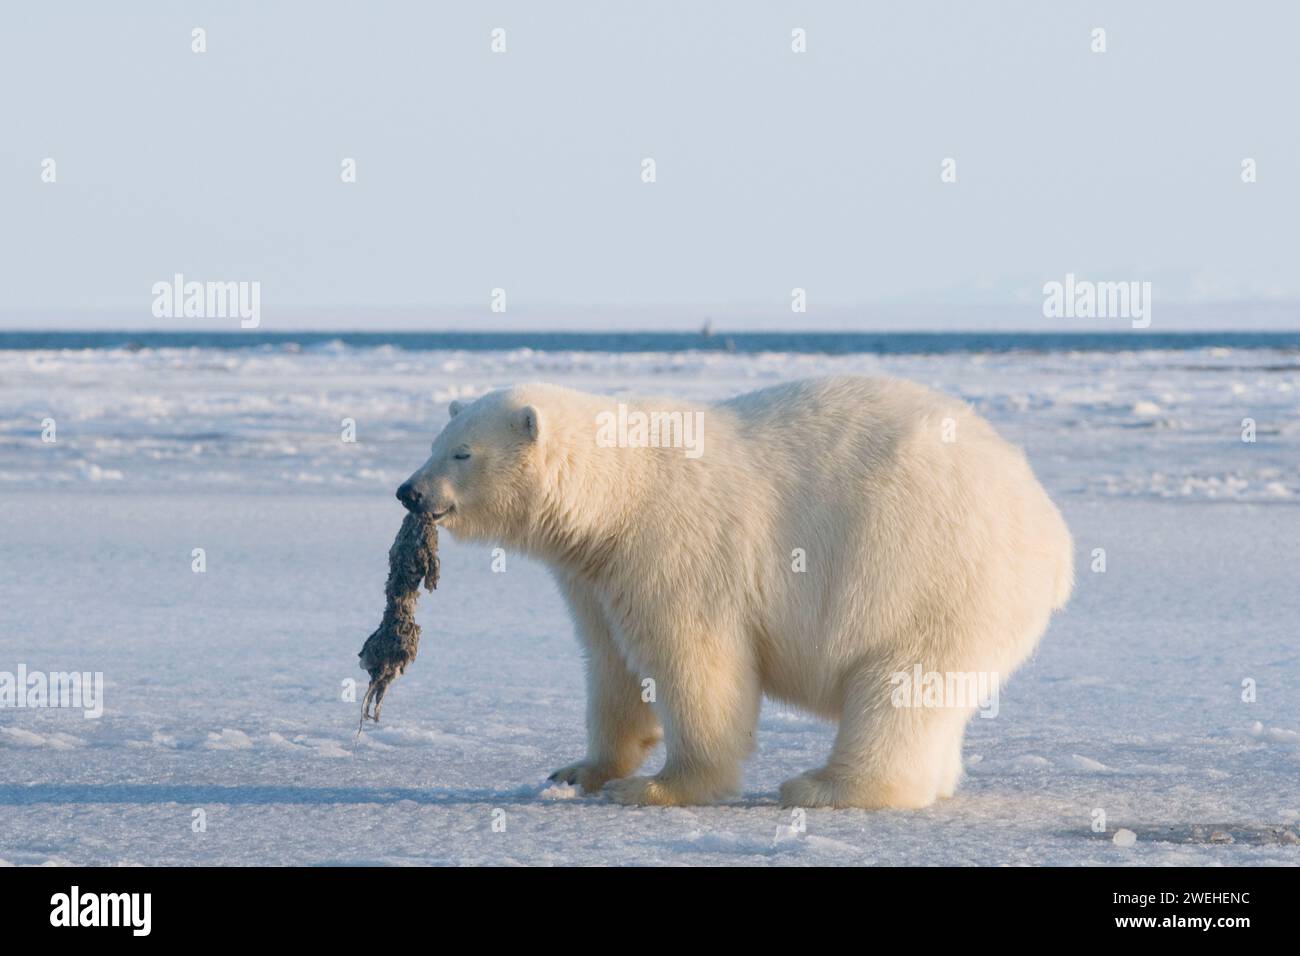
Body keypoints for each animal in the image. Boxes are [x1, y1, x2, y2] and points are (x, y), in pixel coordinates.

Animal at [396, 376, 1073, 809]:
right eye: (433, 444)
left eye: (462, 453)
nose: (409, 491)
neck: (618, 496)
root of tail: (1054, 534)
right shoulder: (594, 574)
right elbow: (612, 666)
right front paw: (579, 771)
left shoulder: (678, 548)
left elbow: (697, 663)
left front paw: (659, 788)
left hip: (932, 574)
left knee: (900, 685)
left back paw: (825, 787)